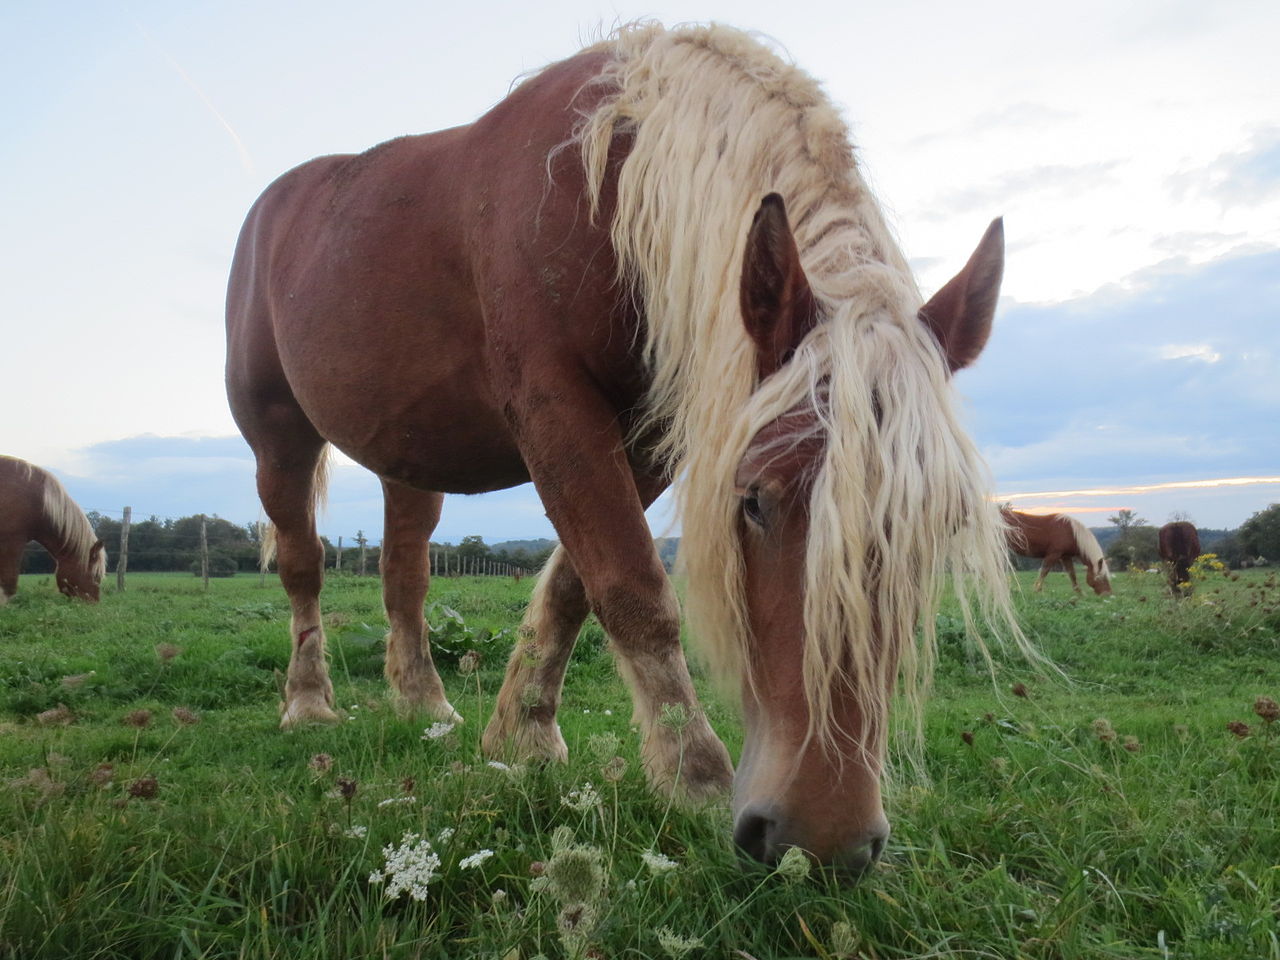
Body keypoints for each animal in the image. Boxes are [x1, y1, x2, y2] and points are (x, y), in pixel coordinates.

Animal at [226, 23, 1018, 872]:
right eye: (754, 501)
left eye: (946, 526)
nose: (825, 842)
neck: (606, 186)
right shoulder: (555, 407)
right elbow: (633, 587)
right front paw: (693, 774)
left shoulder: (646, 437)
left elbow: (578, 583)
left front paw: (521, 735)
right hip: (279, 439)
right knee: (303, 566)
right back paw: (309, 703)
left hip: (410, 456)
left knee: (404, 576)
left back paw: (424, 704)